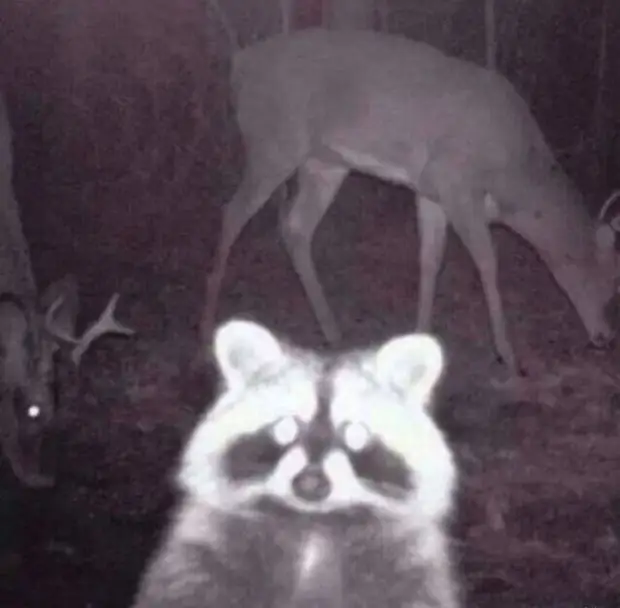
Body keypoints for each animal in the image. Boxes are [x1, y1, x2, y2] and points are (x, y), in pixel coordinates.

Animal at [132, 320, 460, 604]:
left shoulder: (410, 570)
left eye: (354, 434)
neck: (312, 522)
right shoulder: (200, 555)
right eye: (286, 427)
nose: (310, 483)